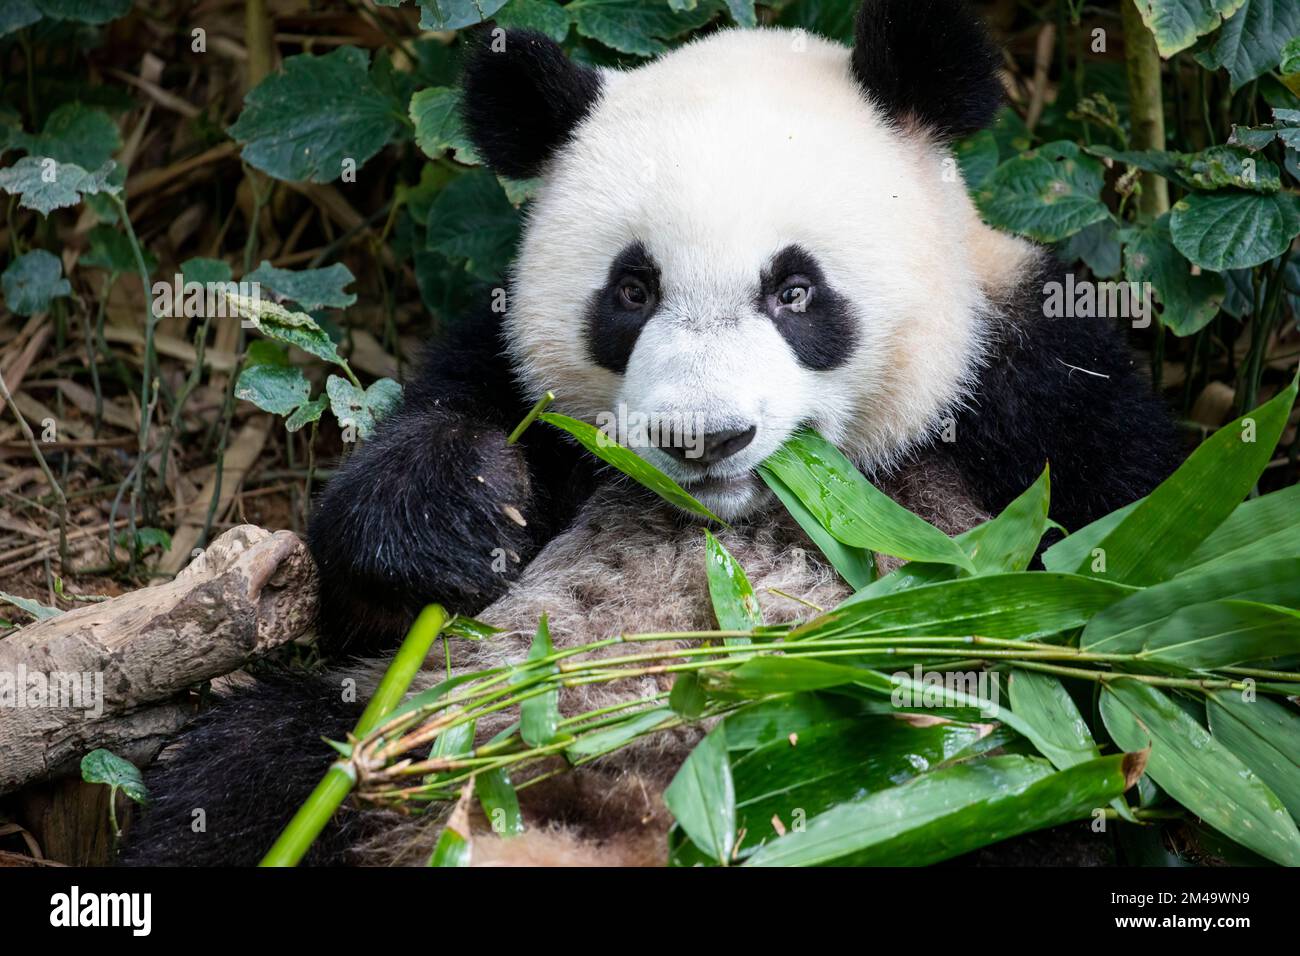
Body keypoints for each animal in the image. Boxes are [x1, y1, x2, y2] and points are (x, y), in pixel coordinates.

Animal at [123, 0, 1178, 866]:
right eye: (632, 290)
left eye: (796, 291)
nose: (700, 437)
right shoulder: (509, 374)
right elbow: (361, 575)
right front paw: (460, 517)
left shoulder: (1031, 384)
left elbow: (1125, 612)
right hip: (422, 728)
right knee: (244, 776)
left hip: (966, 796)